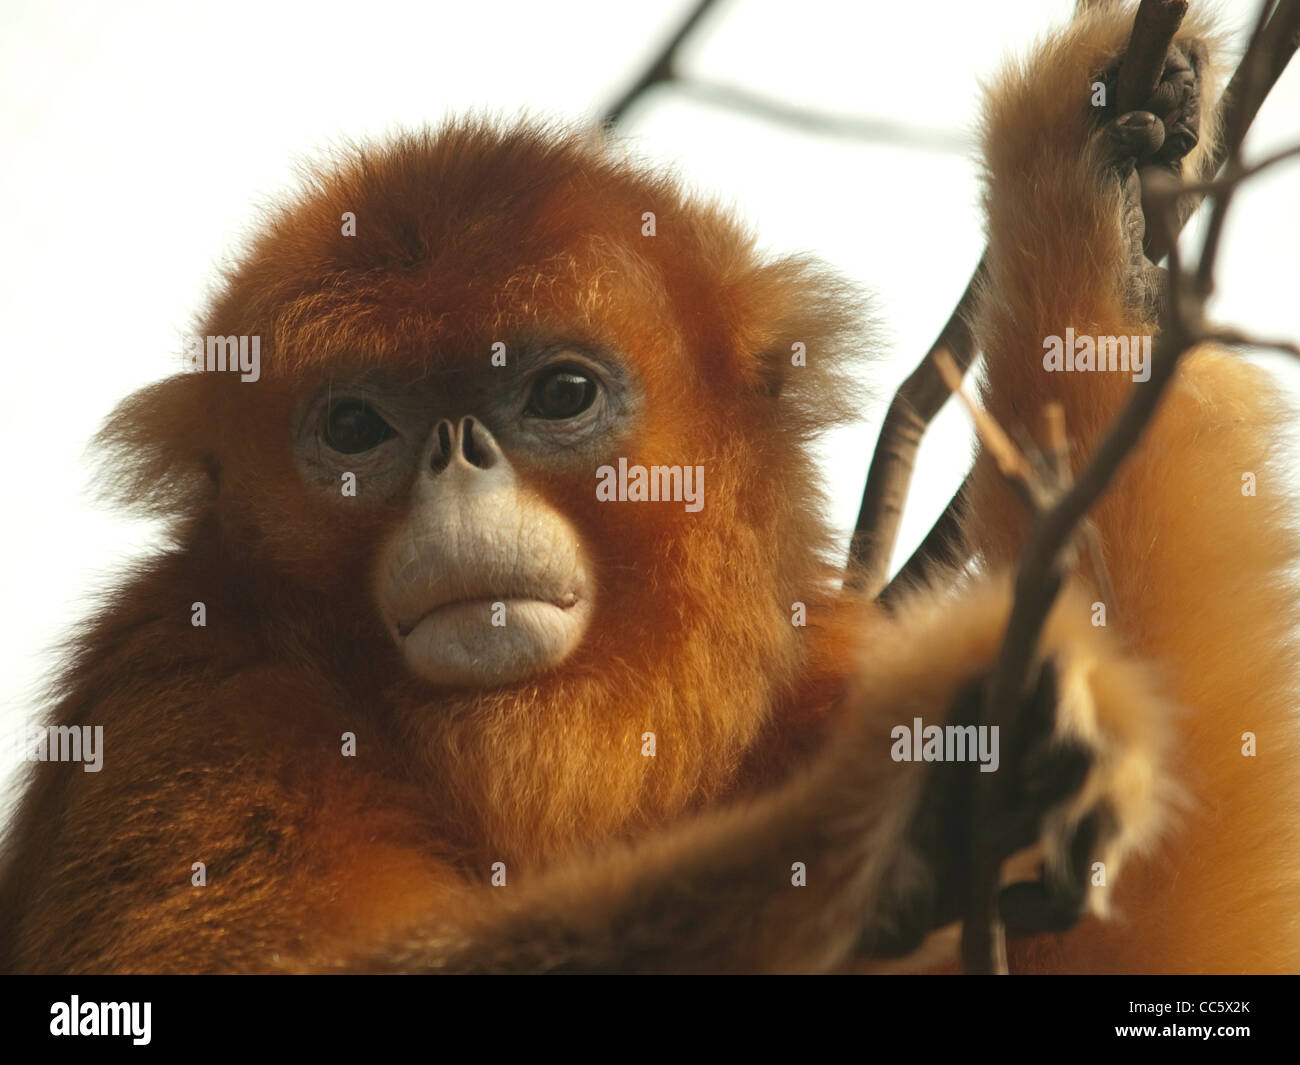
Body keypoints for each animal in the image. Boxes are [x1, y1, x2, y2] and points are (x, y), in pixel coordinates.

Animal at [0, 2, 1295, 974]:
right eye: (358, 428)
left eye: (561, 395)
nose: (457, 459)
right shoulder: (187, 686)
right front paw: (894, 808)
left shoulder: (810, 680)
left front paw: (1096, 204)